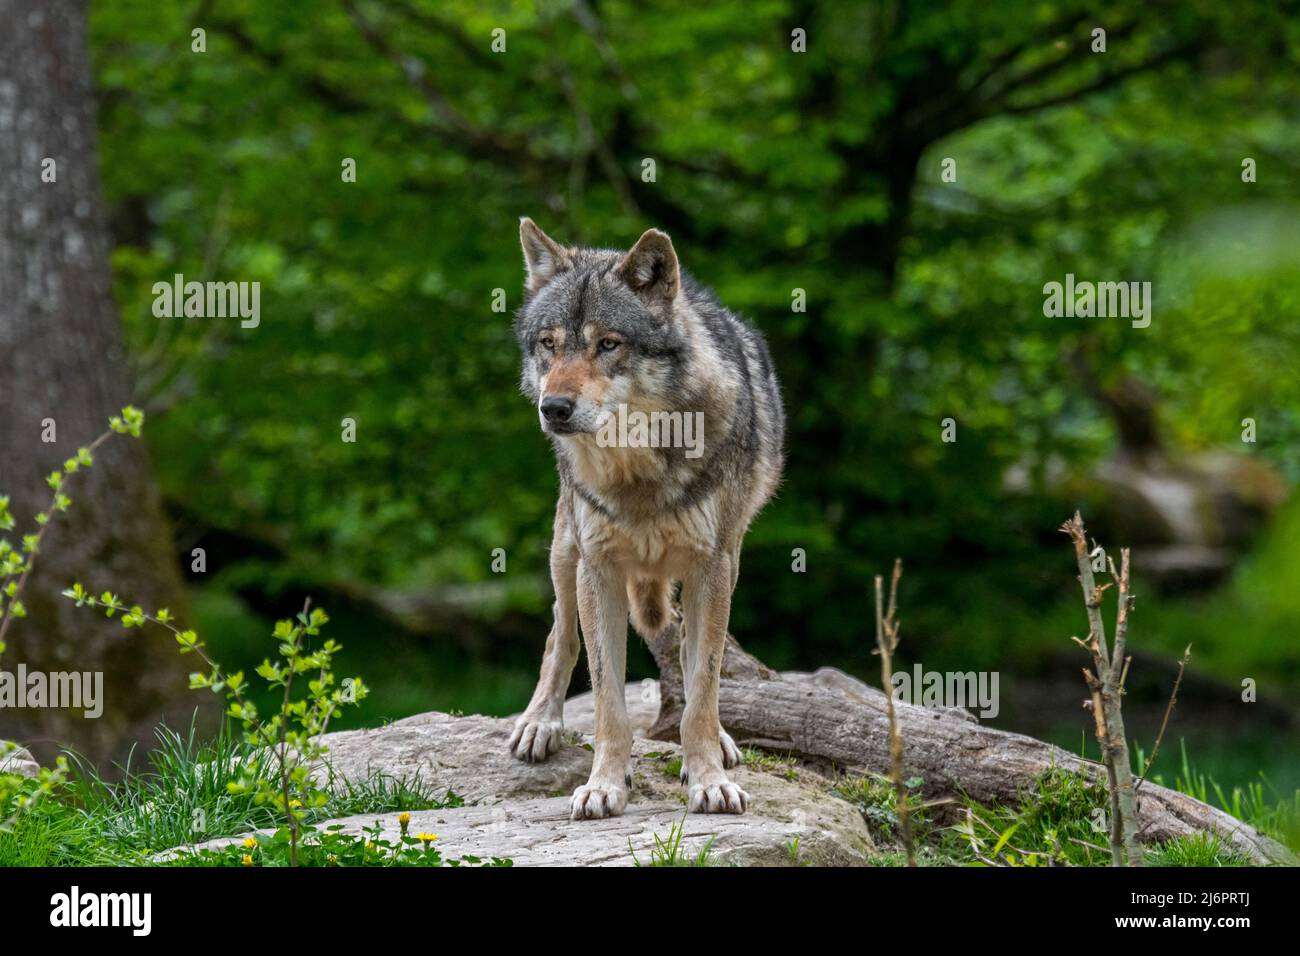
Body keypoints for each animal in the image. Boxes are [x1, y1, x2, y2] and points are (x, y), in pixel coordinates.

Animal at [507, 218, 784, 819]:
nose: (553, 408)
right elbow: (607, 699)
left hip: (727, 561)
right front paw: (603, 786)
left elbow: (703, 685)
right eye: (549, 344)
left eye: (608, 344)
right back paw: (540, 723)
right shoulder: (600, 570)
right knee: (559, 636)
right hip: (566, 553)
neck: (638, 475)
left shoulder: (712, 568)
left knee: (689, 656)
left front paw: (707, 778)